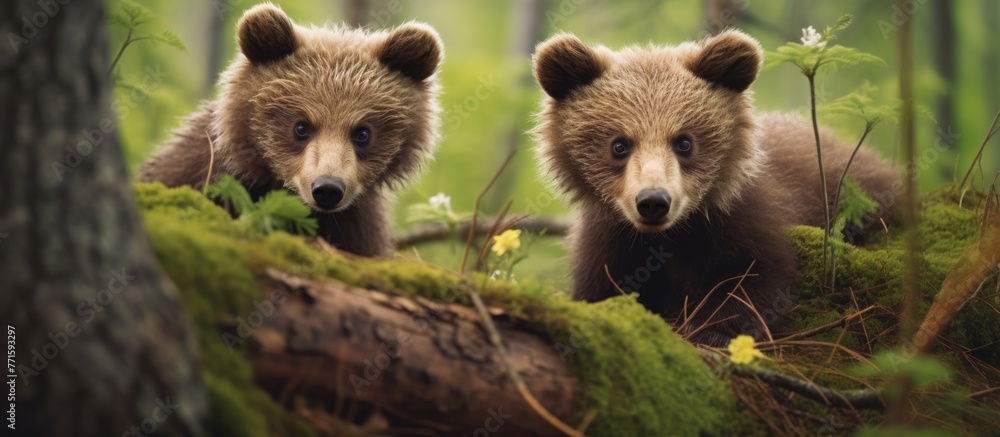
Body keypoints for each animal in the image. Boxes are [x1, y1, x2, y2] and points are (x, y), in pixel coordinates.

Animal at [531, 30, 898, 346]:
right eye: (619, 144)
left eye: (684, 142)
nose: (653, 201)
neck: (669, 237)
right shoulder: (609, 242)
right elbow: (601, 289)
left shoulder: (745, 219)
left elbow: (757, 279)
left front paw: (709, 330)